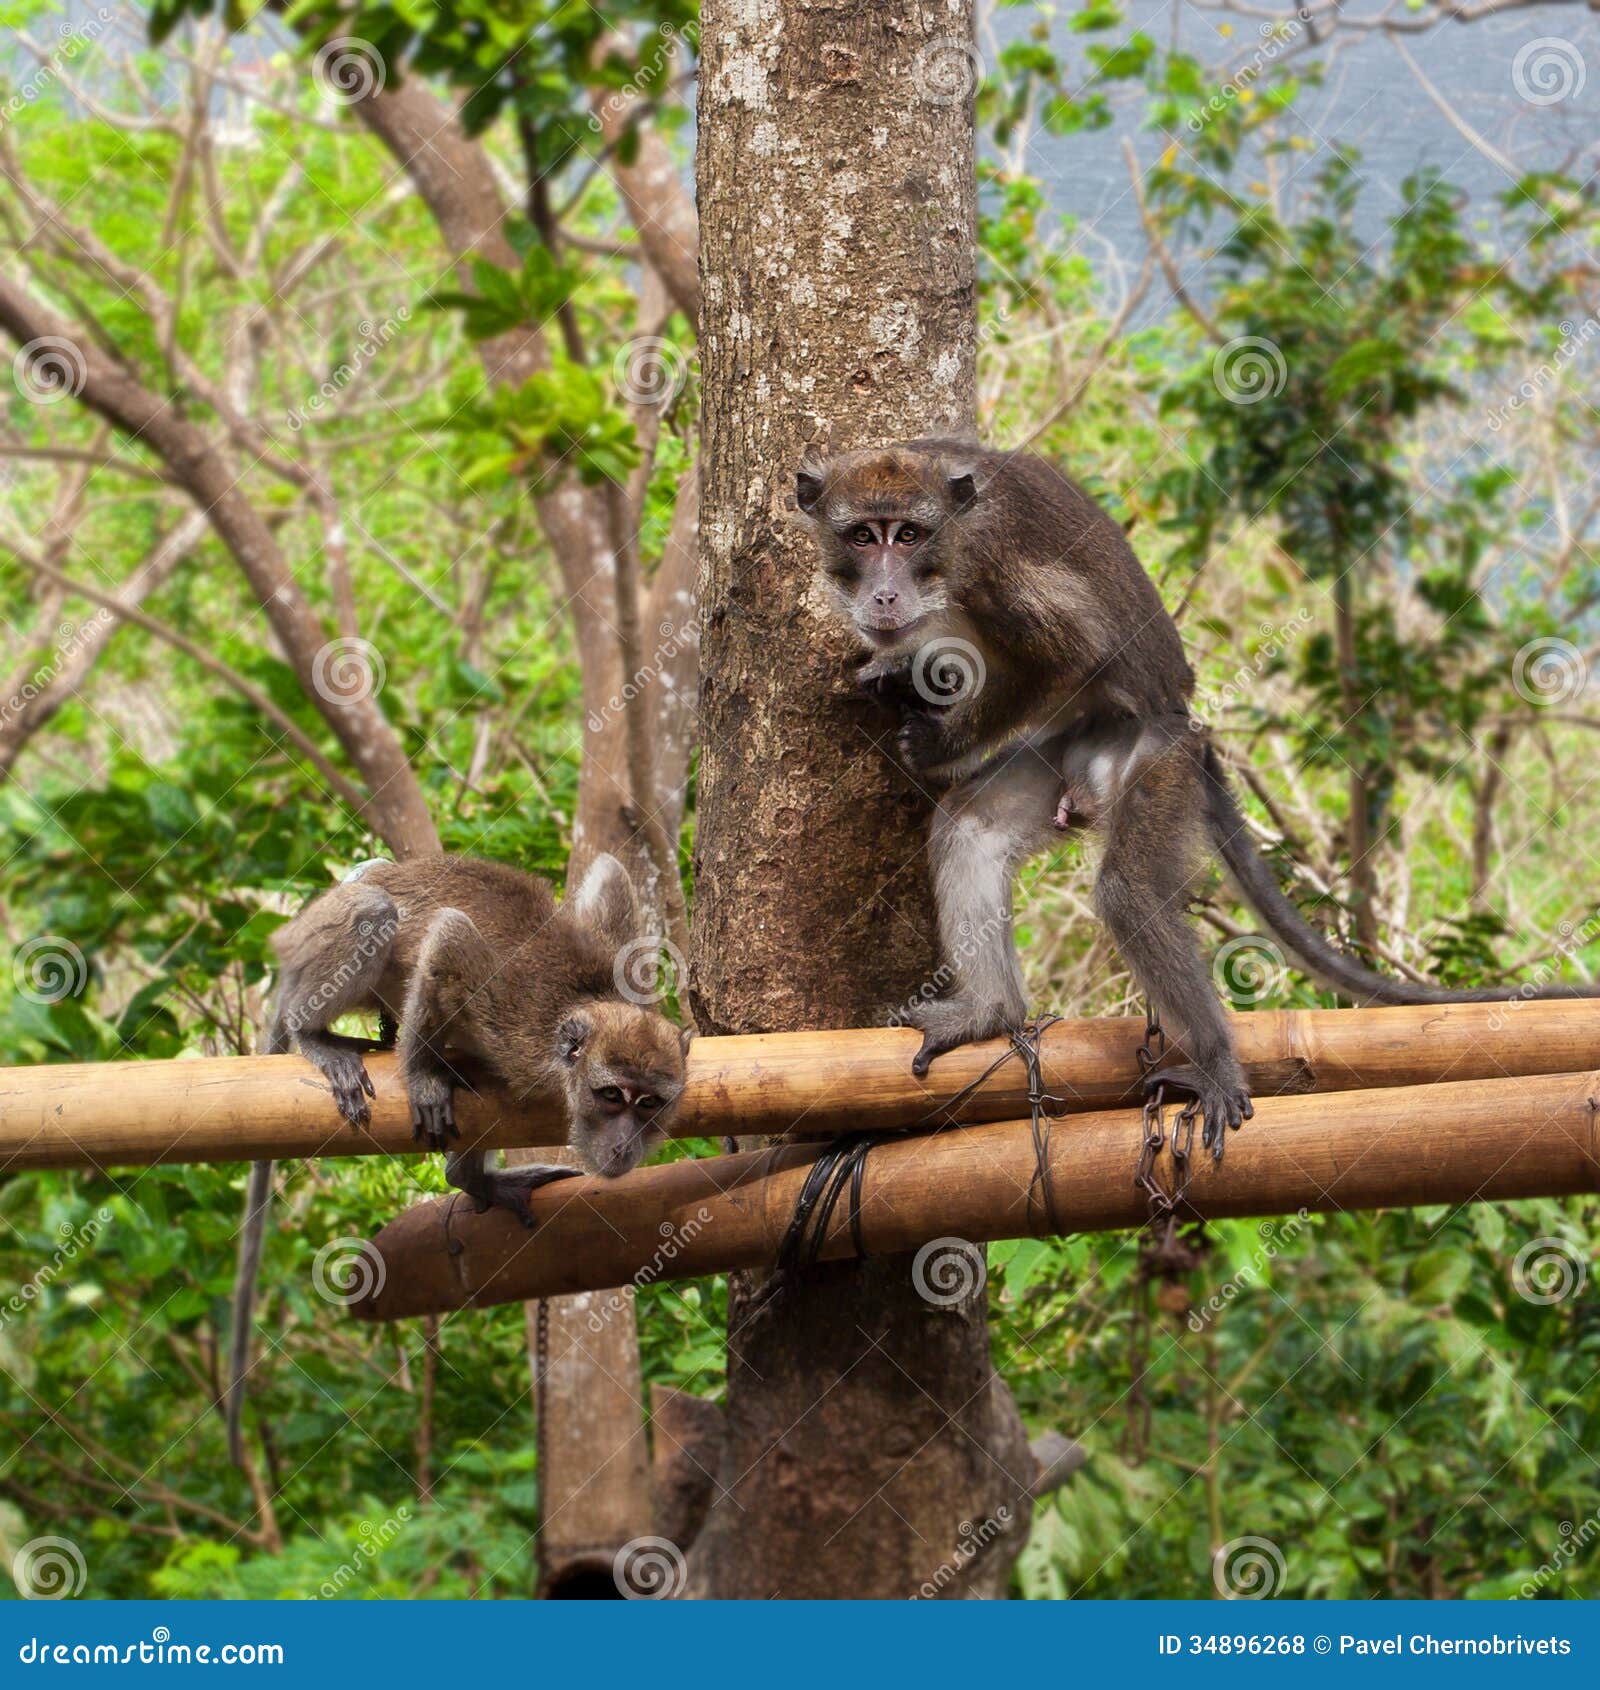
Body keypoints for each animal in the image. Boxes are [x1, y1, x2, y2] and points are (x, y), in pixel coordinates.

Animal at [227, 851, 686, 1465]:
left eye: (649, 1104)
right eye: (612, 1096)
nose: (623, 1146)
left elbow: (611, 870)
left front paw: (471, 1173)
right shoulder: (514, 1020)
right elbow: (448, 939)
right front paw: (422, 1074)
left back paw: (472, 1177)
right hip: (306, 943)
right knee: (375, 911)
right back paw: (314, 1032)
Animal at [797, 438, 1600, 1165]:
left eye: (910, 535)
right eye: (863, 535)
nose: (886, 593)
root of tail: (1179, 724)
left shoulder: (993, 568)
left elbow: (1067, 652)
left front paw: (934, 744)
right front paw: (894, 670)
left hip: (1161, 767)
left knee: (1128, 889)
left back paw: (1214, 1060)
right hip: (1072, 749)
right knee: (972, 828)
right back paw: (991, 1012)